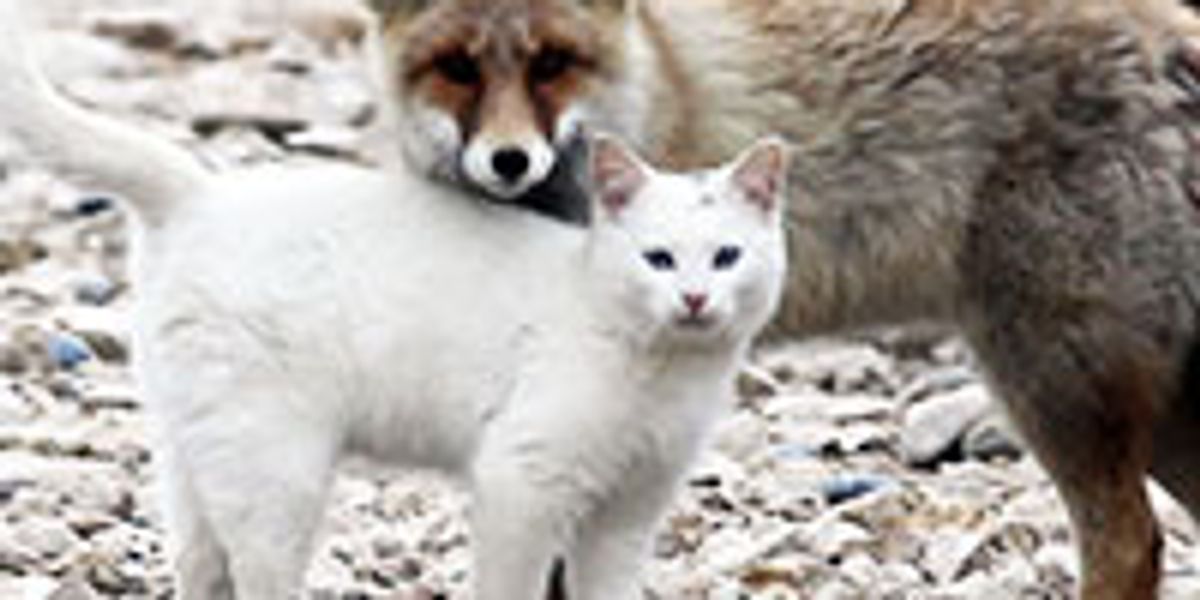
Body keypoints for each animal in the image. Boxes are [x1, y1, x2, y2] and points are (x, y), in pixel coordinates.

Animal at [364, 0, 1200, 598]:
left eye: (552, 65)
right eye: (457, 69)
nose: (509, 160)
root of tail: (1170, 32)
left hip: (1050, 379)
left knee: (1130, 545)